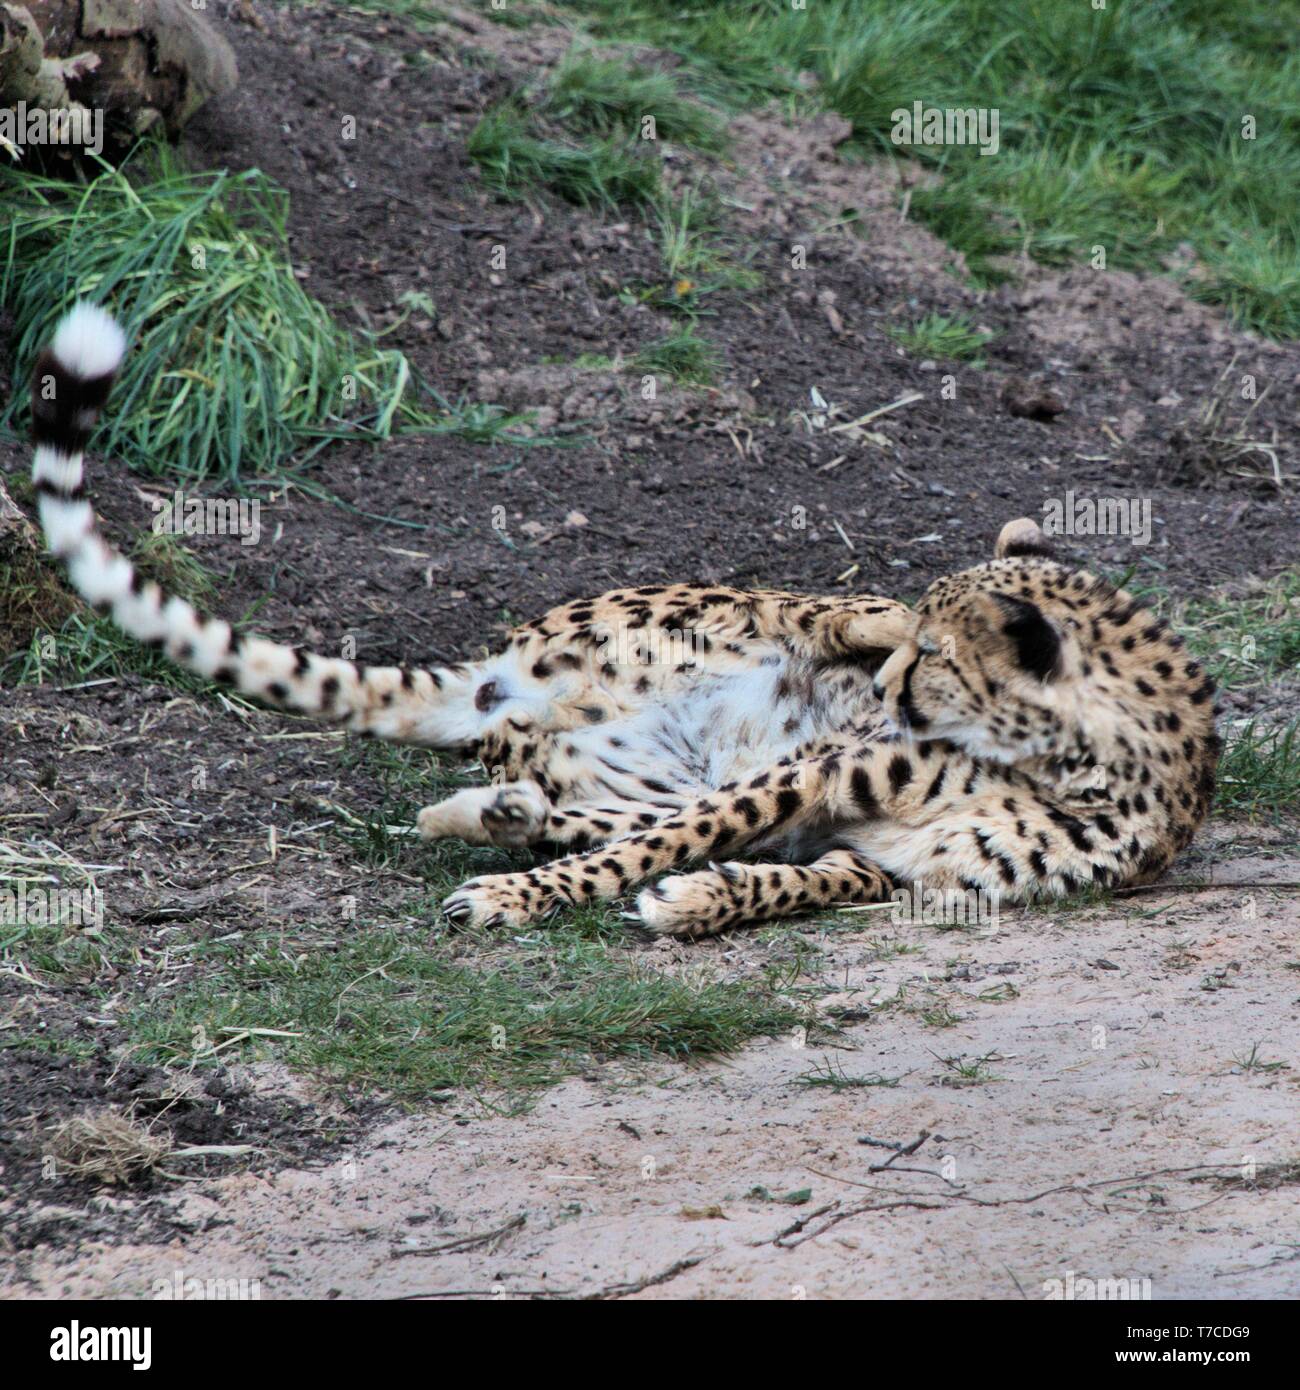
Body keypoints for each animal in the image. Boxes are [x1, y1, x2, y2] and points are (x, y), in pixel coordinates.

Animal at [28, 303, 1220, 939]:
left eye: (942, 659)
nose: (887, 695)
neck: (1074, 766)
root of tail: (497, 673)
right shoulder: (820, 775)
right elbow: (682, 842)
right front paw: (521, 901)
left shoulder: (895, 862)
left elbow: (798, 877)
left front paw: (698, 903)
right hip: (716, 626)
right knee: (819, 631)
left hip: (621, 760)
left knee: (574, 806)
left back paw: (490, 811)